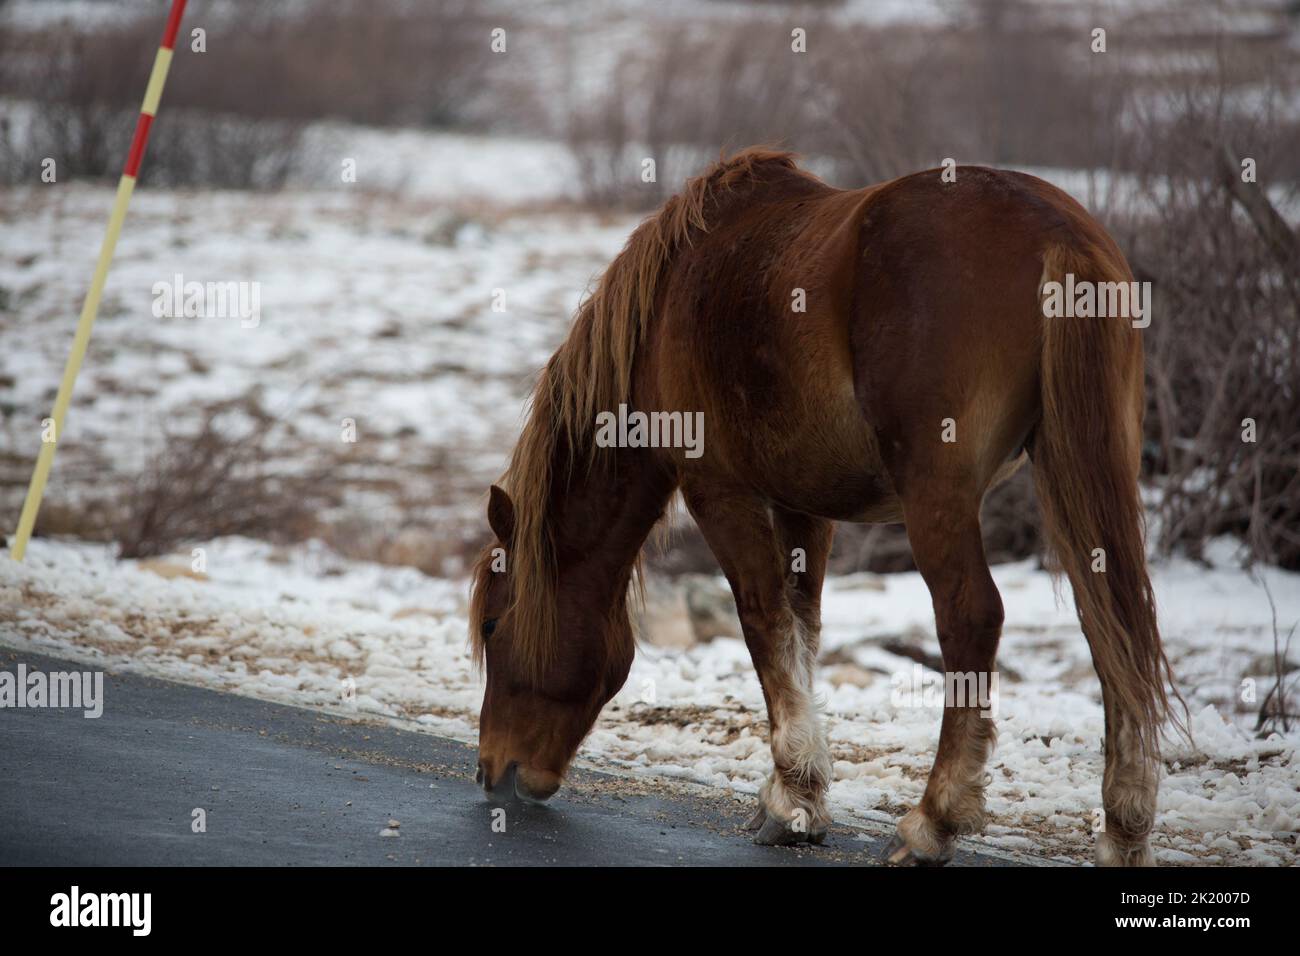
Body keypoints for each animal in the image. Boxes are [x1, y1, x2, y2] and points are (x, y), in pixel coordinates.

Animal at [469, 148, 1182, 866]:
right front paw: (795, 793)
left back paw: (932, 821)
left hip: (940, 496)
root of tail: (1056, 233)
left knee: (973, 619)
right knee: (1113, 627)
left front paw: (794, 797)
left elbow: (763, 623)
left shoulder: (718, 490)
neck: (673, 298)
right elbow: (802, 629)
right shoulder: (804, 505)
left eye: (493, 626)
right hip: (1081, 473)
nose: (490, 772)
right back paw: (1125, 830)